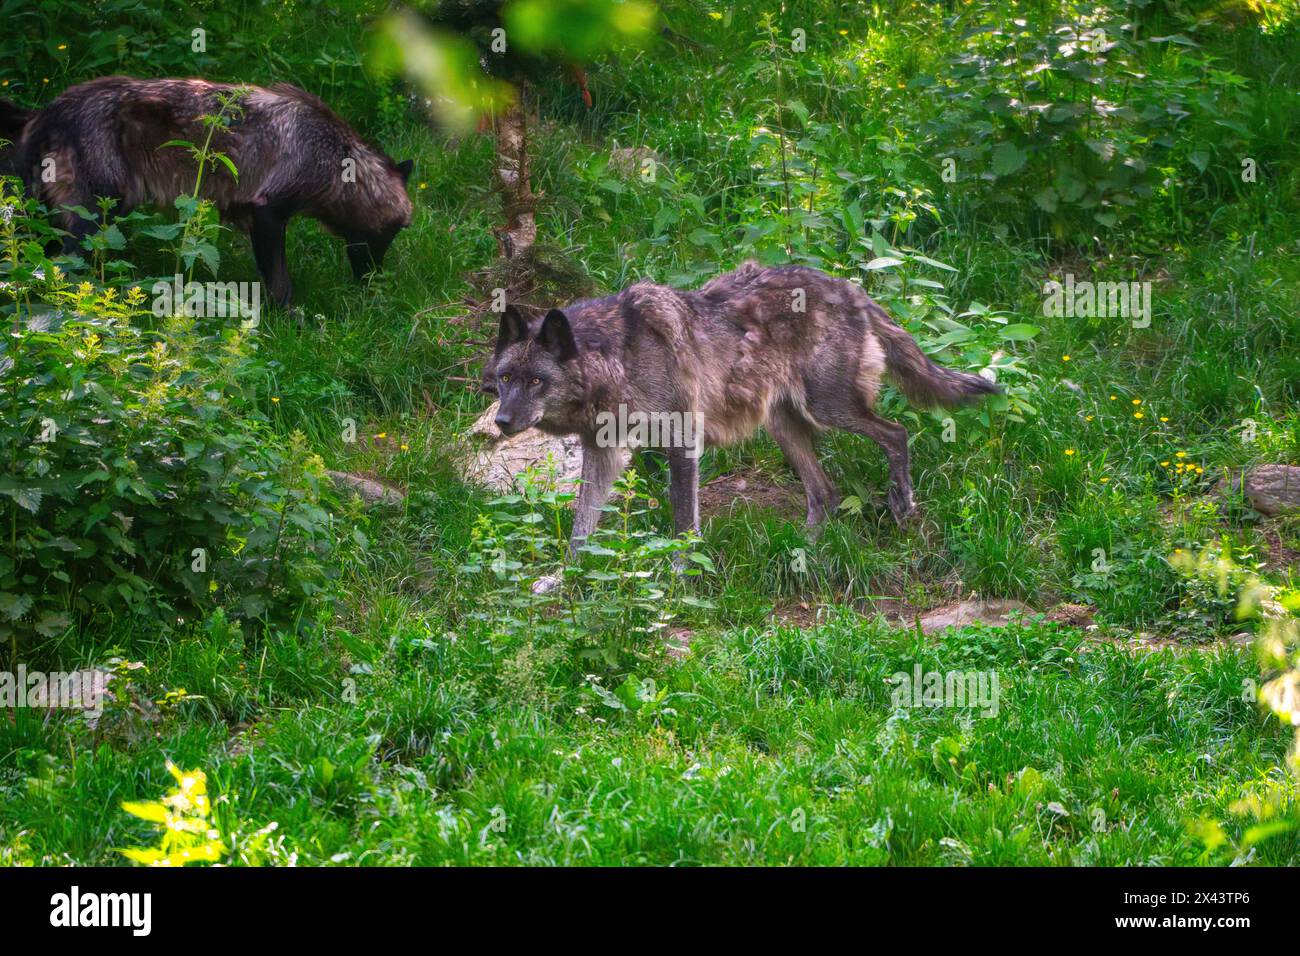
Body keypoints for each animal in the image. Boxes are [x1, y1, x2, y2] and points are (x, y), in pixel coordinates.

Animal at [0, 76, 414, 306]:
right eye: (391, 233)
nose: (373, 282)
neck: (332, 154)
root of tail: (45, 111)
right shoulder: (268, 211)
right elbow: (280, 284)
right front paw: (291, 321)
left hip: (50, 219)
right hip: (92, 218)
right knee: (63, 270)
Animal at [483, 262, 1001, 555]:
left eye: (536, 381)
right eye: (506, 379)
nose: (502, 422)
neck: (616, 358)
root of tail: (847, 286)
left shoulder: (682, 443)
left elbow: (683, 528)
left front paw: (681, 581)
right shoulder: (603, 453)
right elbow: (580, 529)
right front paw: (567, 582)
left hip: (829, 408)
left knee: (895, 433)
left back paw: (900, 506)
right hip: (784, 427)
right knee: (826, 492)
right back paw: (804, 553)